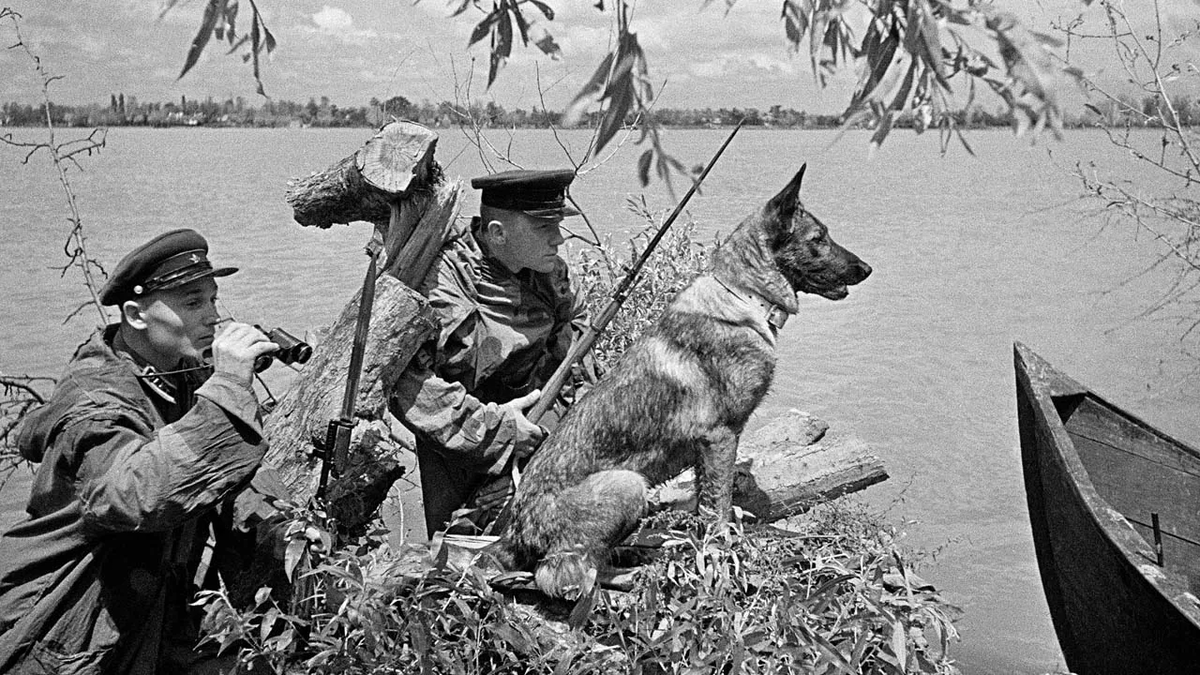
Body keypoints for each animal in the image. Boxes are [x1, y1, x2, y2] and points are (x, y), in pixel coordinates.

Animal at [487, 165, 873, 595]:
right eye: (818, 239)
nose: (867, 269)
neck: (743, 296)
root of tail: (515, 530)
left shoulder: (711, 447)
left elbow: (708, 500)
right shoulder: (720, 436)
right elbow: (718, 507)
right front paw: (723, 552)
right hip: (628, 484)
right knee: (565, 574)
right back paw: (629, 572)